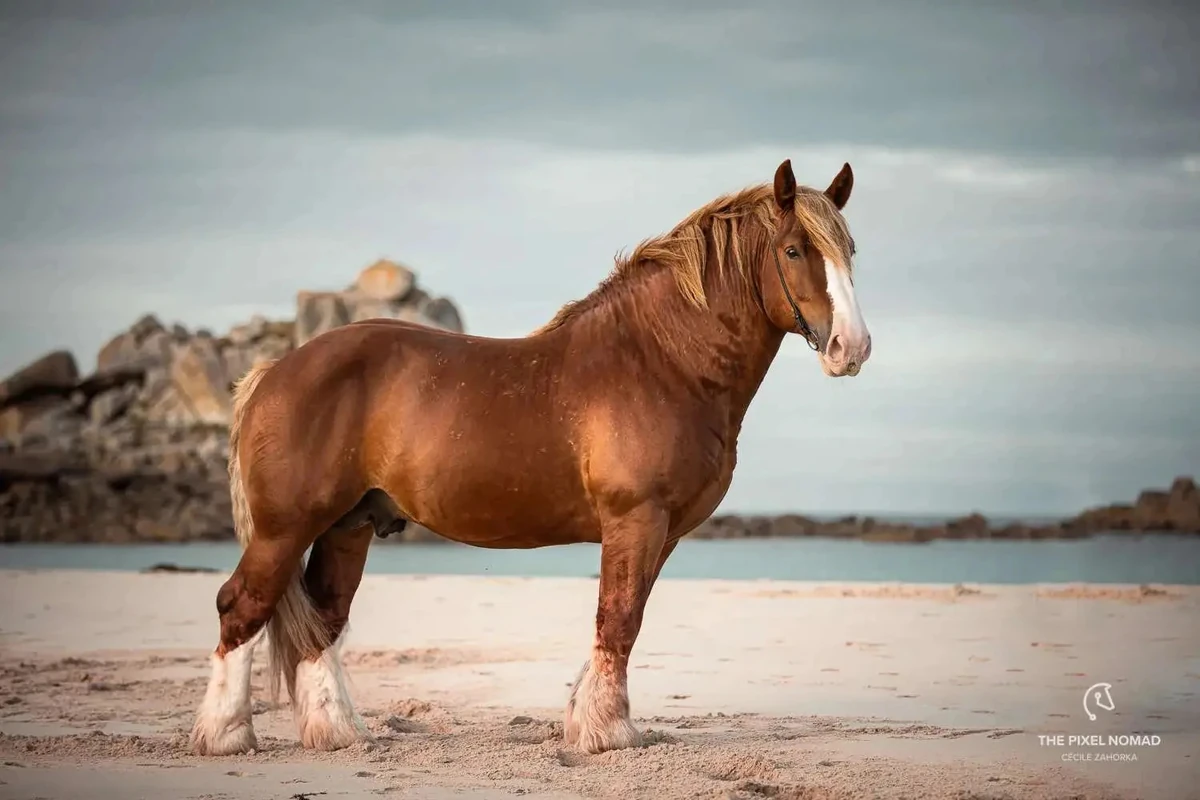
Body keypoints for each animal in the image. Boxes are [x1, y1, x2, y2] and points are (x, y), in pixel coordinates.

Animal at [189, 158, 872, 757]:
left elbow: (621, 619)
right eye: (793, 250)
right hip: (285, 528)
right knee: (241, 605)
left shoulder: (663, 532)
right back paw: (225, 736)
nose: (853, 347)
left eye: (851, 251)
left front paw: (585, 721)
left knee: (321, 620)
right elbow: (619, 620)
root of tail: (276, 371)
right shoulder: (636, 519)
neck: (662, 362)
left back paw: (337, 733)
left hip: (347, 526)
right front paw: (610, 734)